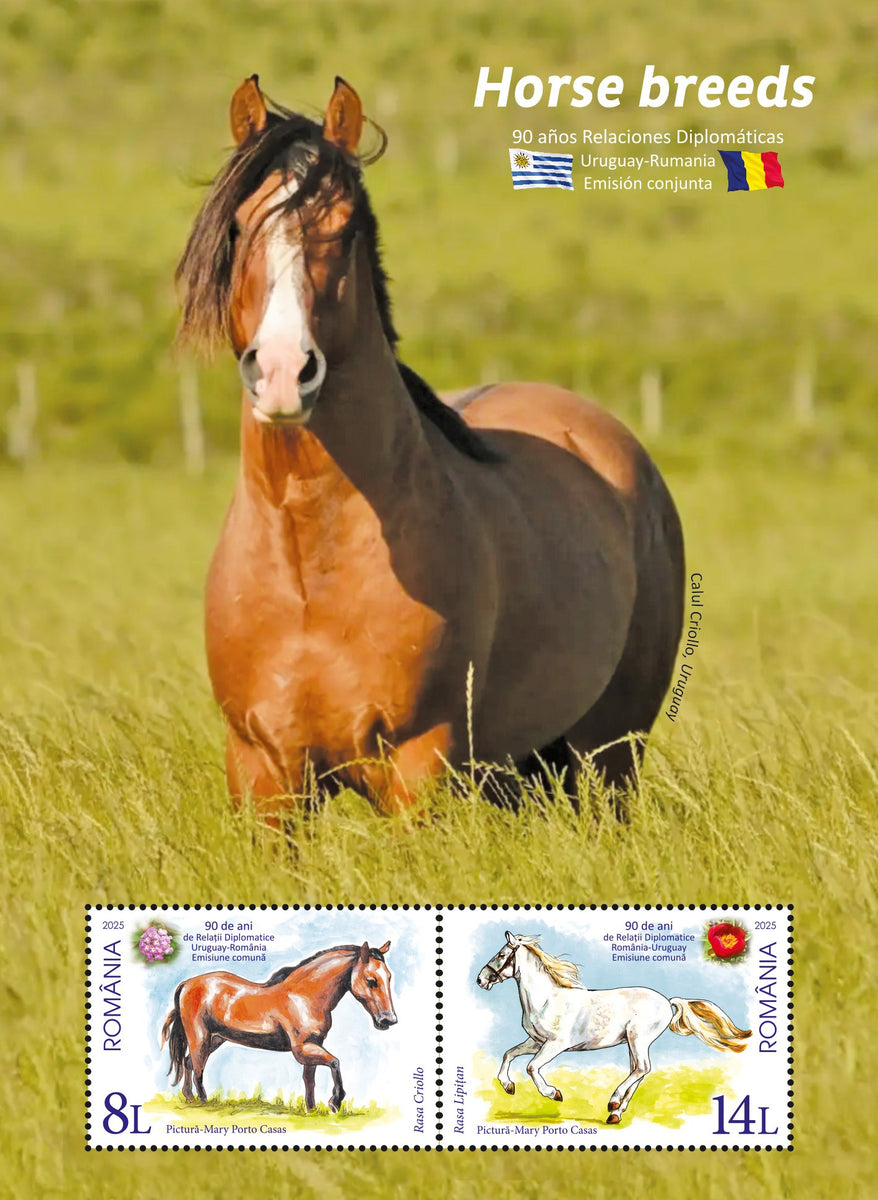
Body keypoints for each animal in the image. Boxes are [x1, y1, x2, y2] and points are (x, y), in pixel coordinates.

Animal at [160, 940, 396, 1111]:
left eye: (389, 977)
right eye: (371, 980)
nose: (388, 1020)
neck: (305, 996)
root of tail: (187, 983)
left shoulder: (312, 1046)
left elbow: (309, 1081)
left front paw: (311, 1111)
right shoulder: (302, 1049)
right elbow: (335, 1062)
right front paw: (335, 1102)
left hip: (215, 1039)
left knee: (189, 1063)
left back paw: (190, 1099)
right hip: (200, 1037)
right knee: (197, 1068)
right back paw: (203, 1102)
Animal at [176, 74, 685, 819]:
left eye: (345, 228)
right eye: (240, 226)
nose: (282, 372)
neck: (309, 570)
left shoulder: (421, 770)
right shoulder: (263, 776)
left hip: (608, 758)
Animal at [477, 932, 751, 1123]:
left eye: (501, 954)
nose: (480, 979)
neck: (546, 1000)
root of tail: (667, 1001)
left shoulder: (556, 1045)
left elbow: (531, 1067)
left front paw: (553, 1093)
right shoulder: (535, 1041)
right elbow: (509, 1054)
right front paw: (508, 1086)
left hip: (638, 1038)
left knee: (641, 1068)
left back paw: (613, 1102)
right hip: (631, 1042)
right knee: (639, 1071)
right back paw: (616, 1113)